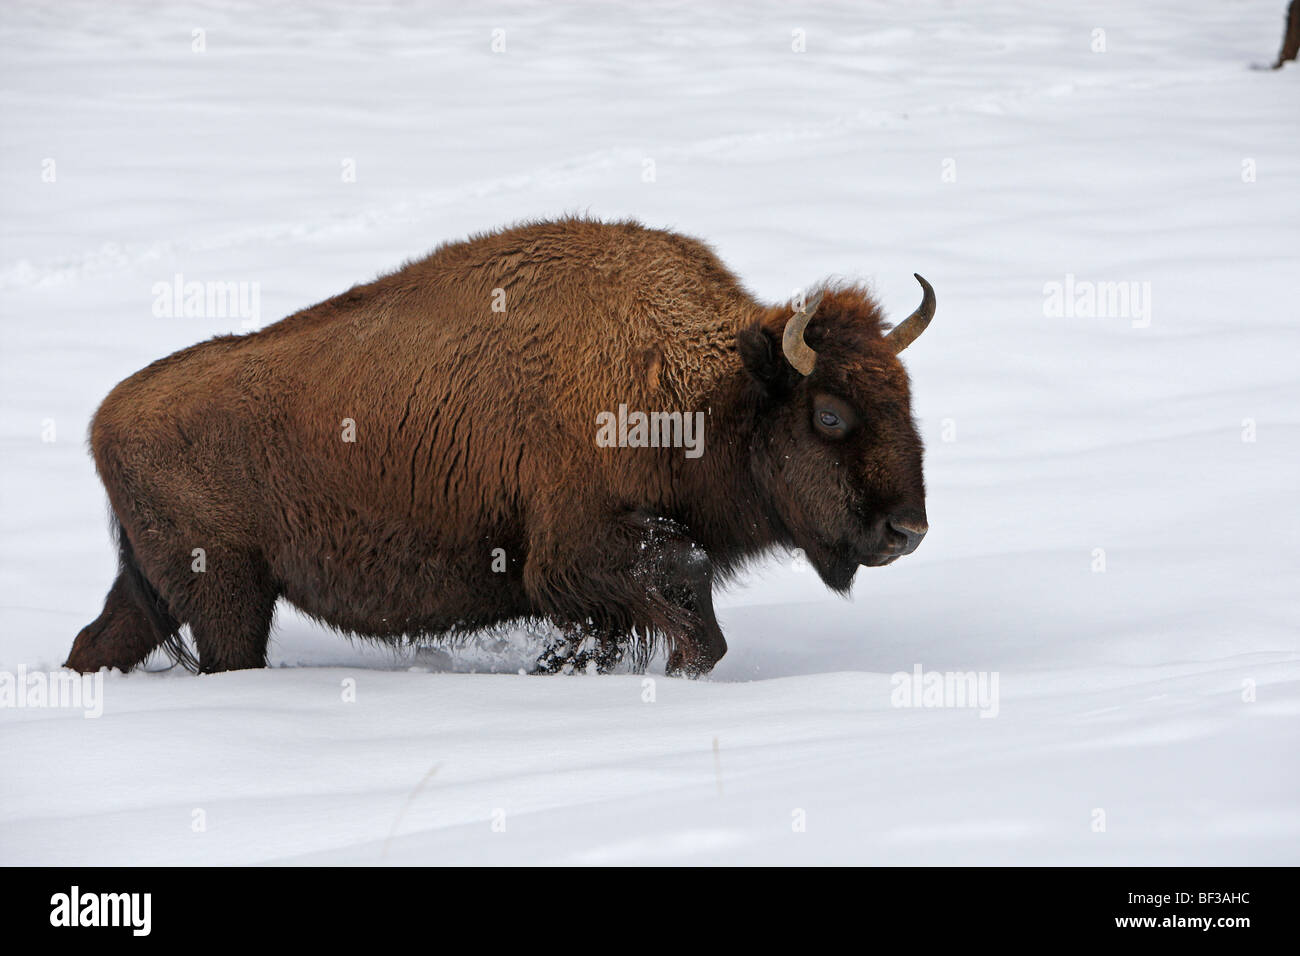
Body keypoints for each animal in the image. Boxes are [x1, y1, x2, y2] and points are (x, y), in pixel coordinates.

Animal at [66, 218, 934, 677]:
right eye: (829, 416)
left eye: (904, 397)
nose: (907, 528)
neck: (701, 387)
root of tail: (107, 415)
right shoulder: (582, 551)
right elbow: (694, 617)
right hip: (229, 592)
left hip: (161, 586)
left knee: (99, 639)